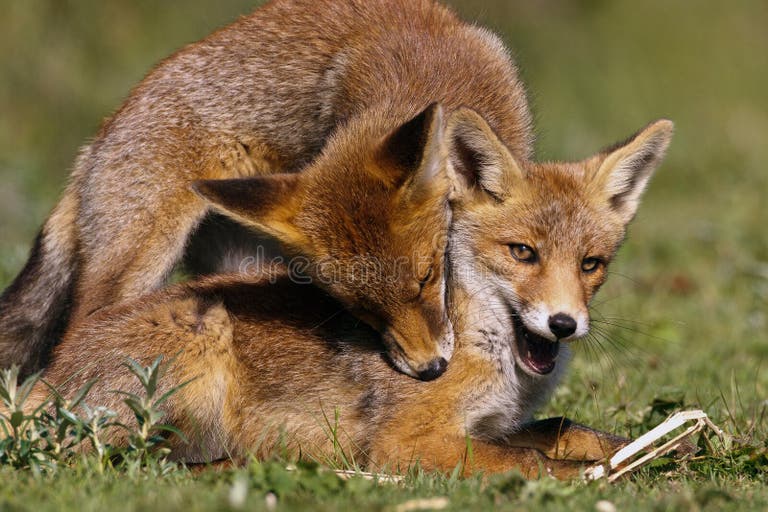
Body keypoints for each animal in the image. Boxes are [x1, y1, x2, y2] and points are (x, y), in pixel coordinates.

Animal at [24, 108, 674, 478]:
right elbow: (536, 461)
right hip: (202, 346)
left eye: (591, 264)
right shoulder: (409, 443)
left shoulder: (488, 427)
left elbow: (568, 430)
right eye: (523, 253)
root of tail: (47, 375)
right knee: (129, 462)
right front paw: (616, 477)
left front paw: (660, 449)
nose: (564, 324)